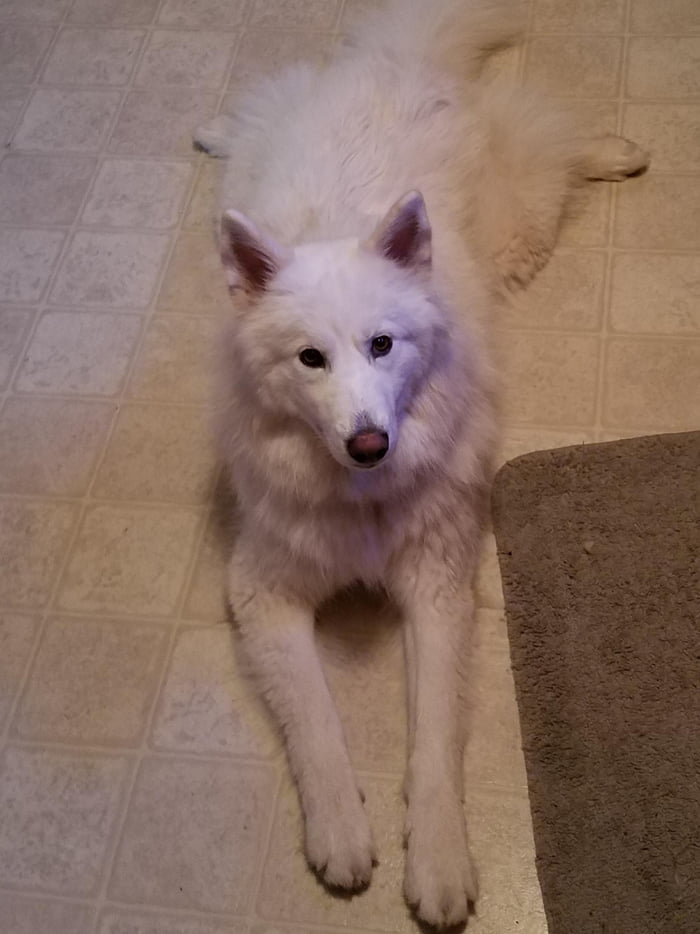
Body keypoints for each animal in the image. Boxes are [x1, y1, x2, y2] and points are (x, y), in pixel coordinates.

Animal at [194, 0, 648, 927]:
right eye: (309, 359)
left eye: (382, 345)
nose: (370, 444)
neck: (361, 497)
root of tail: (392, 70)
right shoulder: (265, 593)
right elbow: (317, 724)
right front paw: (340, 832)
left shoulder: (438, 593)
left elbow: (435, 743)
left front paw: (438, 862)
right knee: (262, 104)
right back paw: (215, 128)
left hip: (517, 224)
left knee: (548, 133)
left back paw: (616, 149)